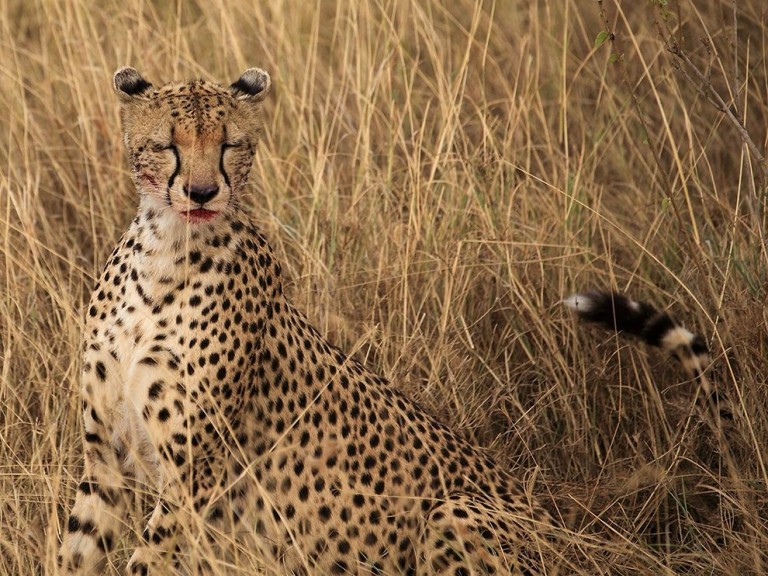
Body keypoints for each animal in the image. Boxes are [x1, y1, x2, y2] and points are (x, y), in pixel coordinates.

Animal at [57, 67, 716, 575]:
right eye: (168, 143)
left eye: (229, 144)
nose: (201, 191)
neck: (165, 253)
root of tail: (561, 530)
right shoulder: (104, 458)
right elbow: (74, 550)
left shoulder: (192, 478)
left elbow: (147, 559)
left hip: (454, 511)